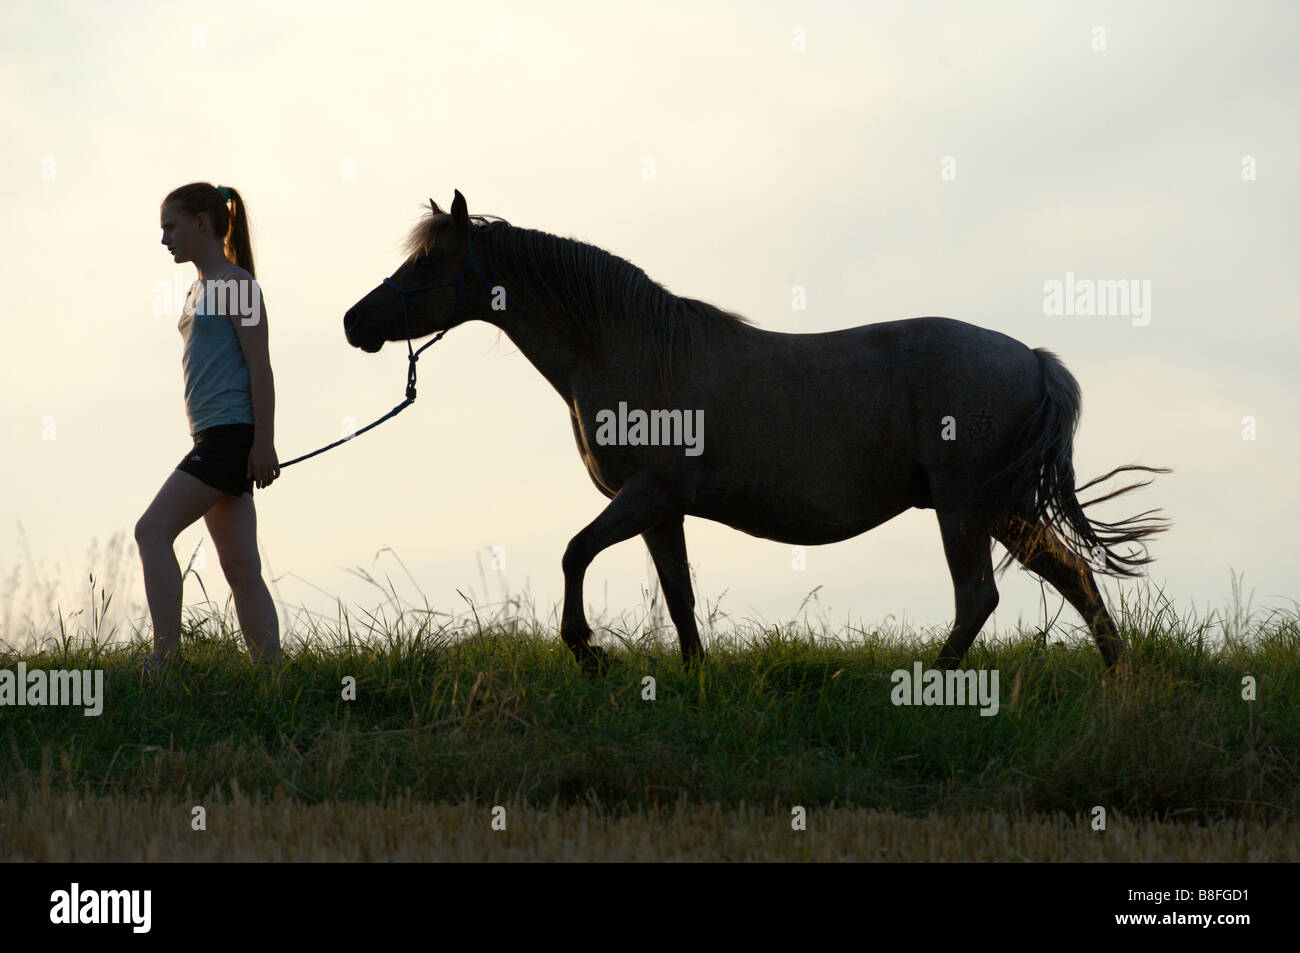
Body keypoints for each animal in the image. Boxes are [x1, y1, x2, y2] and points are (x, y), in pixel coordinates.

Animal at [343, 190, 1169, 676]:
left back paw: (931, 682)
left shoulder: (647, 493)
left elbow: (576, 552)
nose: (355, 321)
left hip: (966, 506)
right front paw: (694, 678)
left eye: (428, 259)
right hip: (1000, 505)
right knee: (1072, 573)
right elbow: (678, 596)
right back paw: (1117, 679)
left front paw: (588, 650)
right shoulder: (660, 509)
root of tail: (1032, 359)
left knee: (980, 596)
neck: (627, 344)